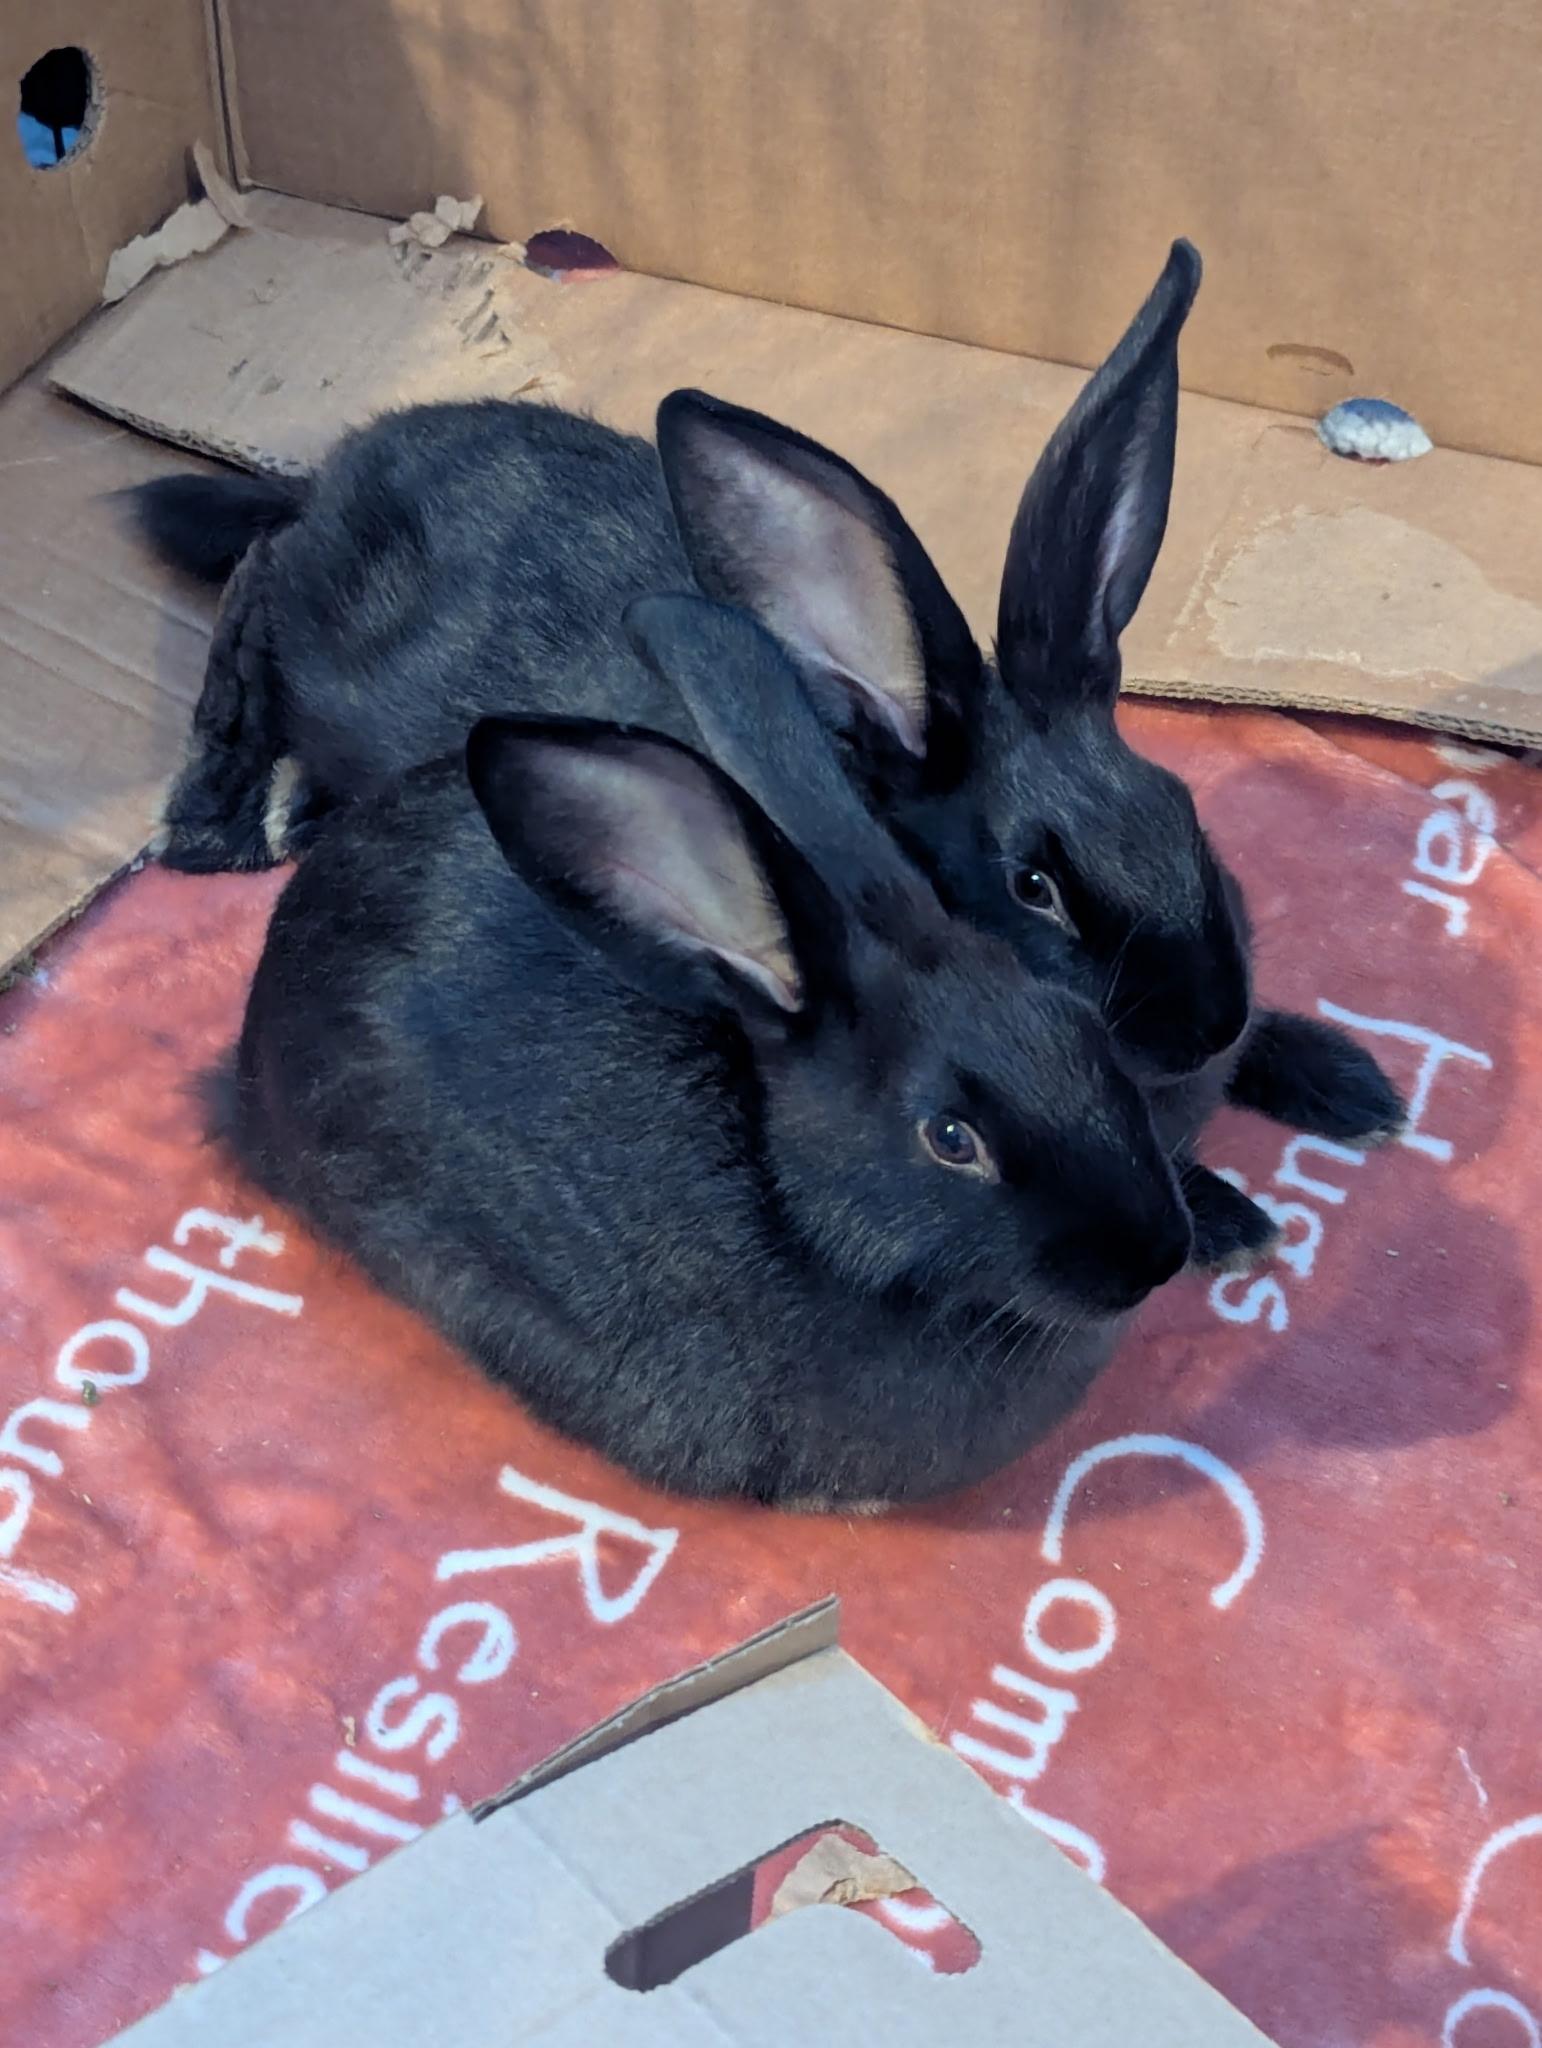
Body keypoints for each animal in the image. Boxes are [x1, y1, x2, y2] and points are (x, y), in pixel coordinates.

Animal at [127, 240, 1403, 1268]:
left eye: (1190, 818)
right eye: (1035, 885)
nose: (1207, 1022)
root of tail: (332, 471)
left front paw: (1347, 1082)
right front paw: (1227, 1212)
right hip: (304, 632)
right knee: (255, 587)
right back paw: (224, 809)